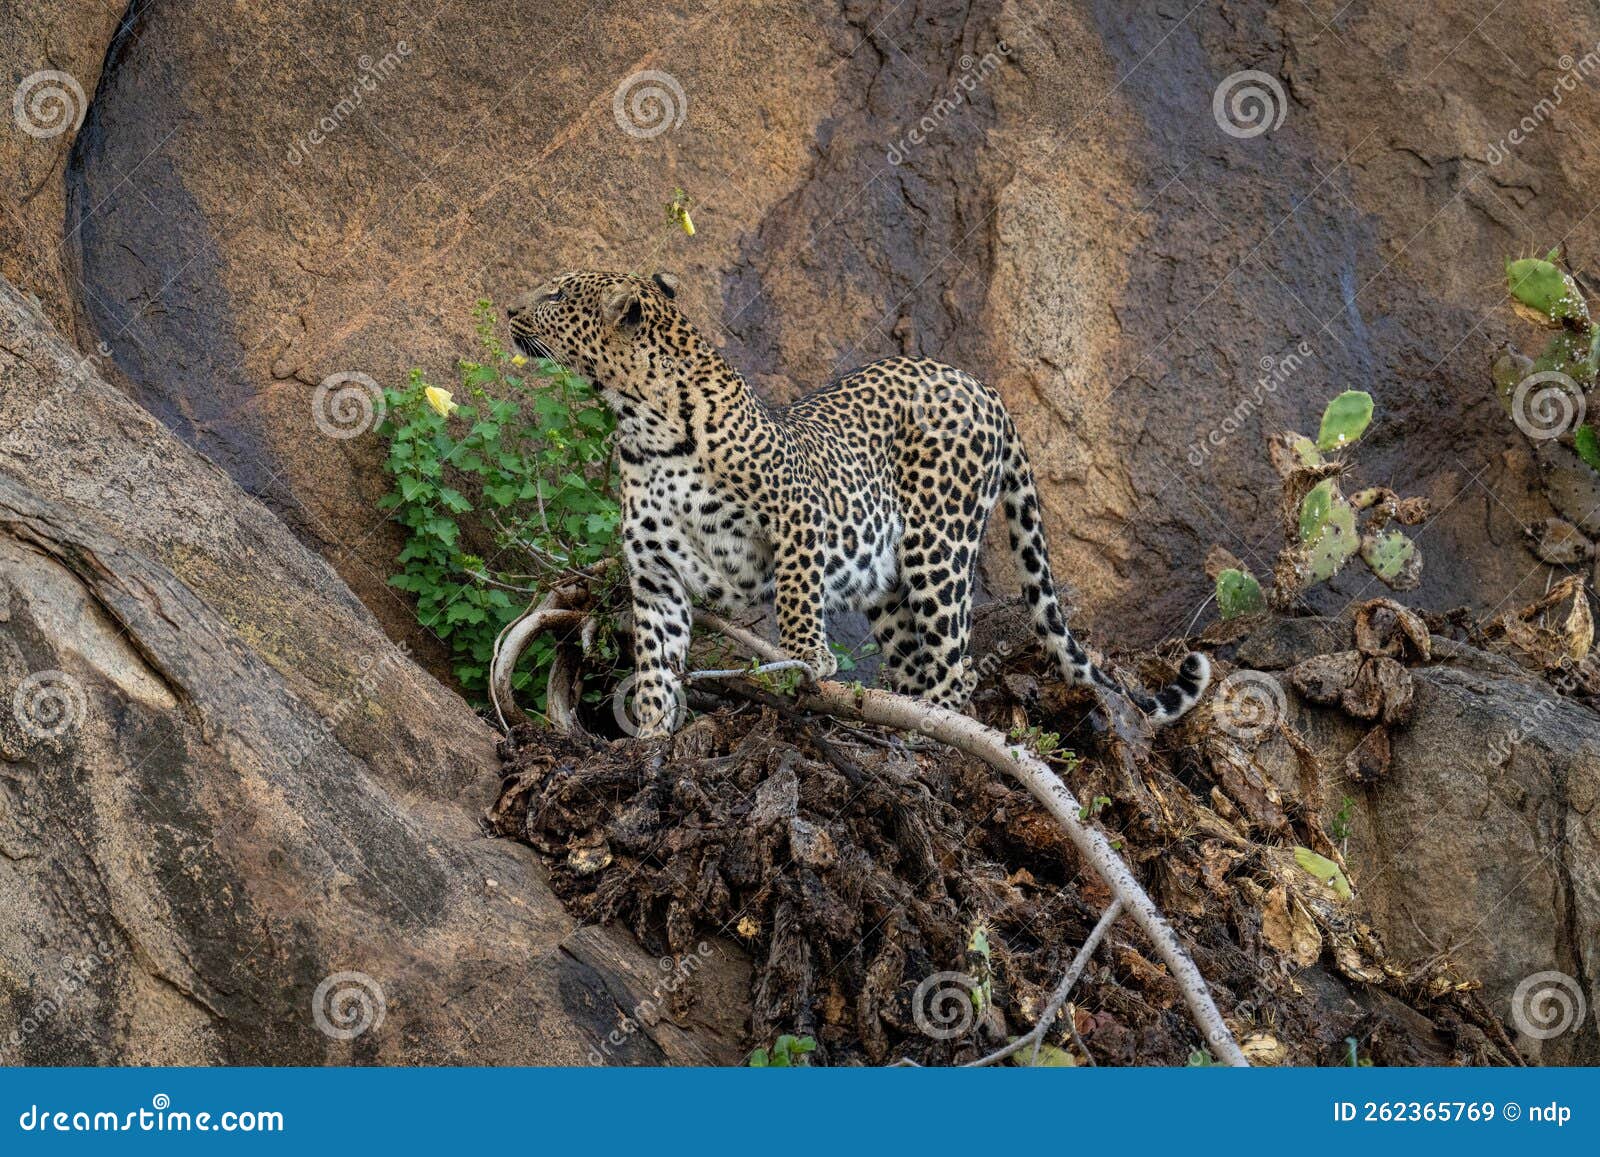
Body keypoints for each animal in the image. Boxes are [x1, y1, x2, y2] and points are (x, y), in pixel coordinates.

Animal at [506, 270, 1210, 738]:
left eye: (555, 296)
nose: (511, 307)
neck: (643, 425)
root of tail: (984, 387)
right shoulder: (654, 574)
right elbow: (654, 660)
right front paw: (653, 736)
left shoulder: (798, 516)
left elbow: (795, 596)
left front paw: (807, 661)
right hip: (890, 590)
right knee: (915, 665)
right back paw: (900, 719)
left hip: (939, 549)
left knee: (959, 668)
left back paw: (936, 734)